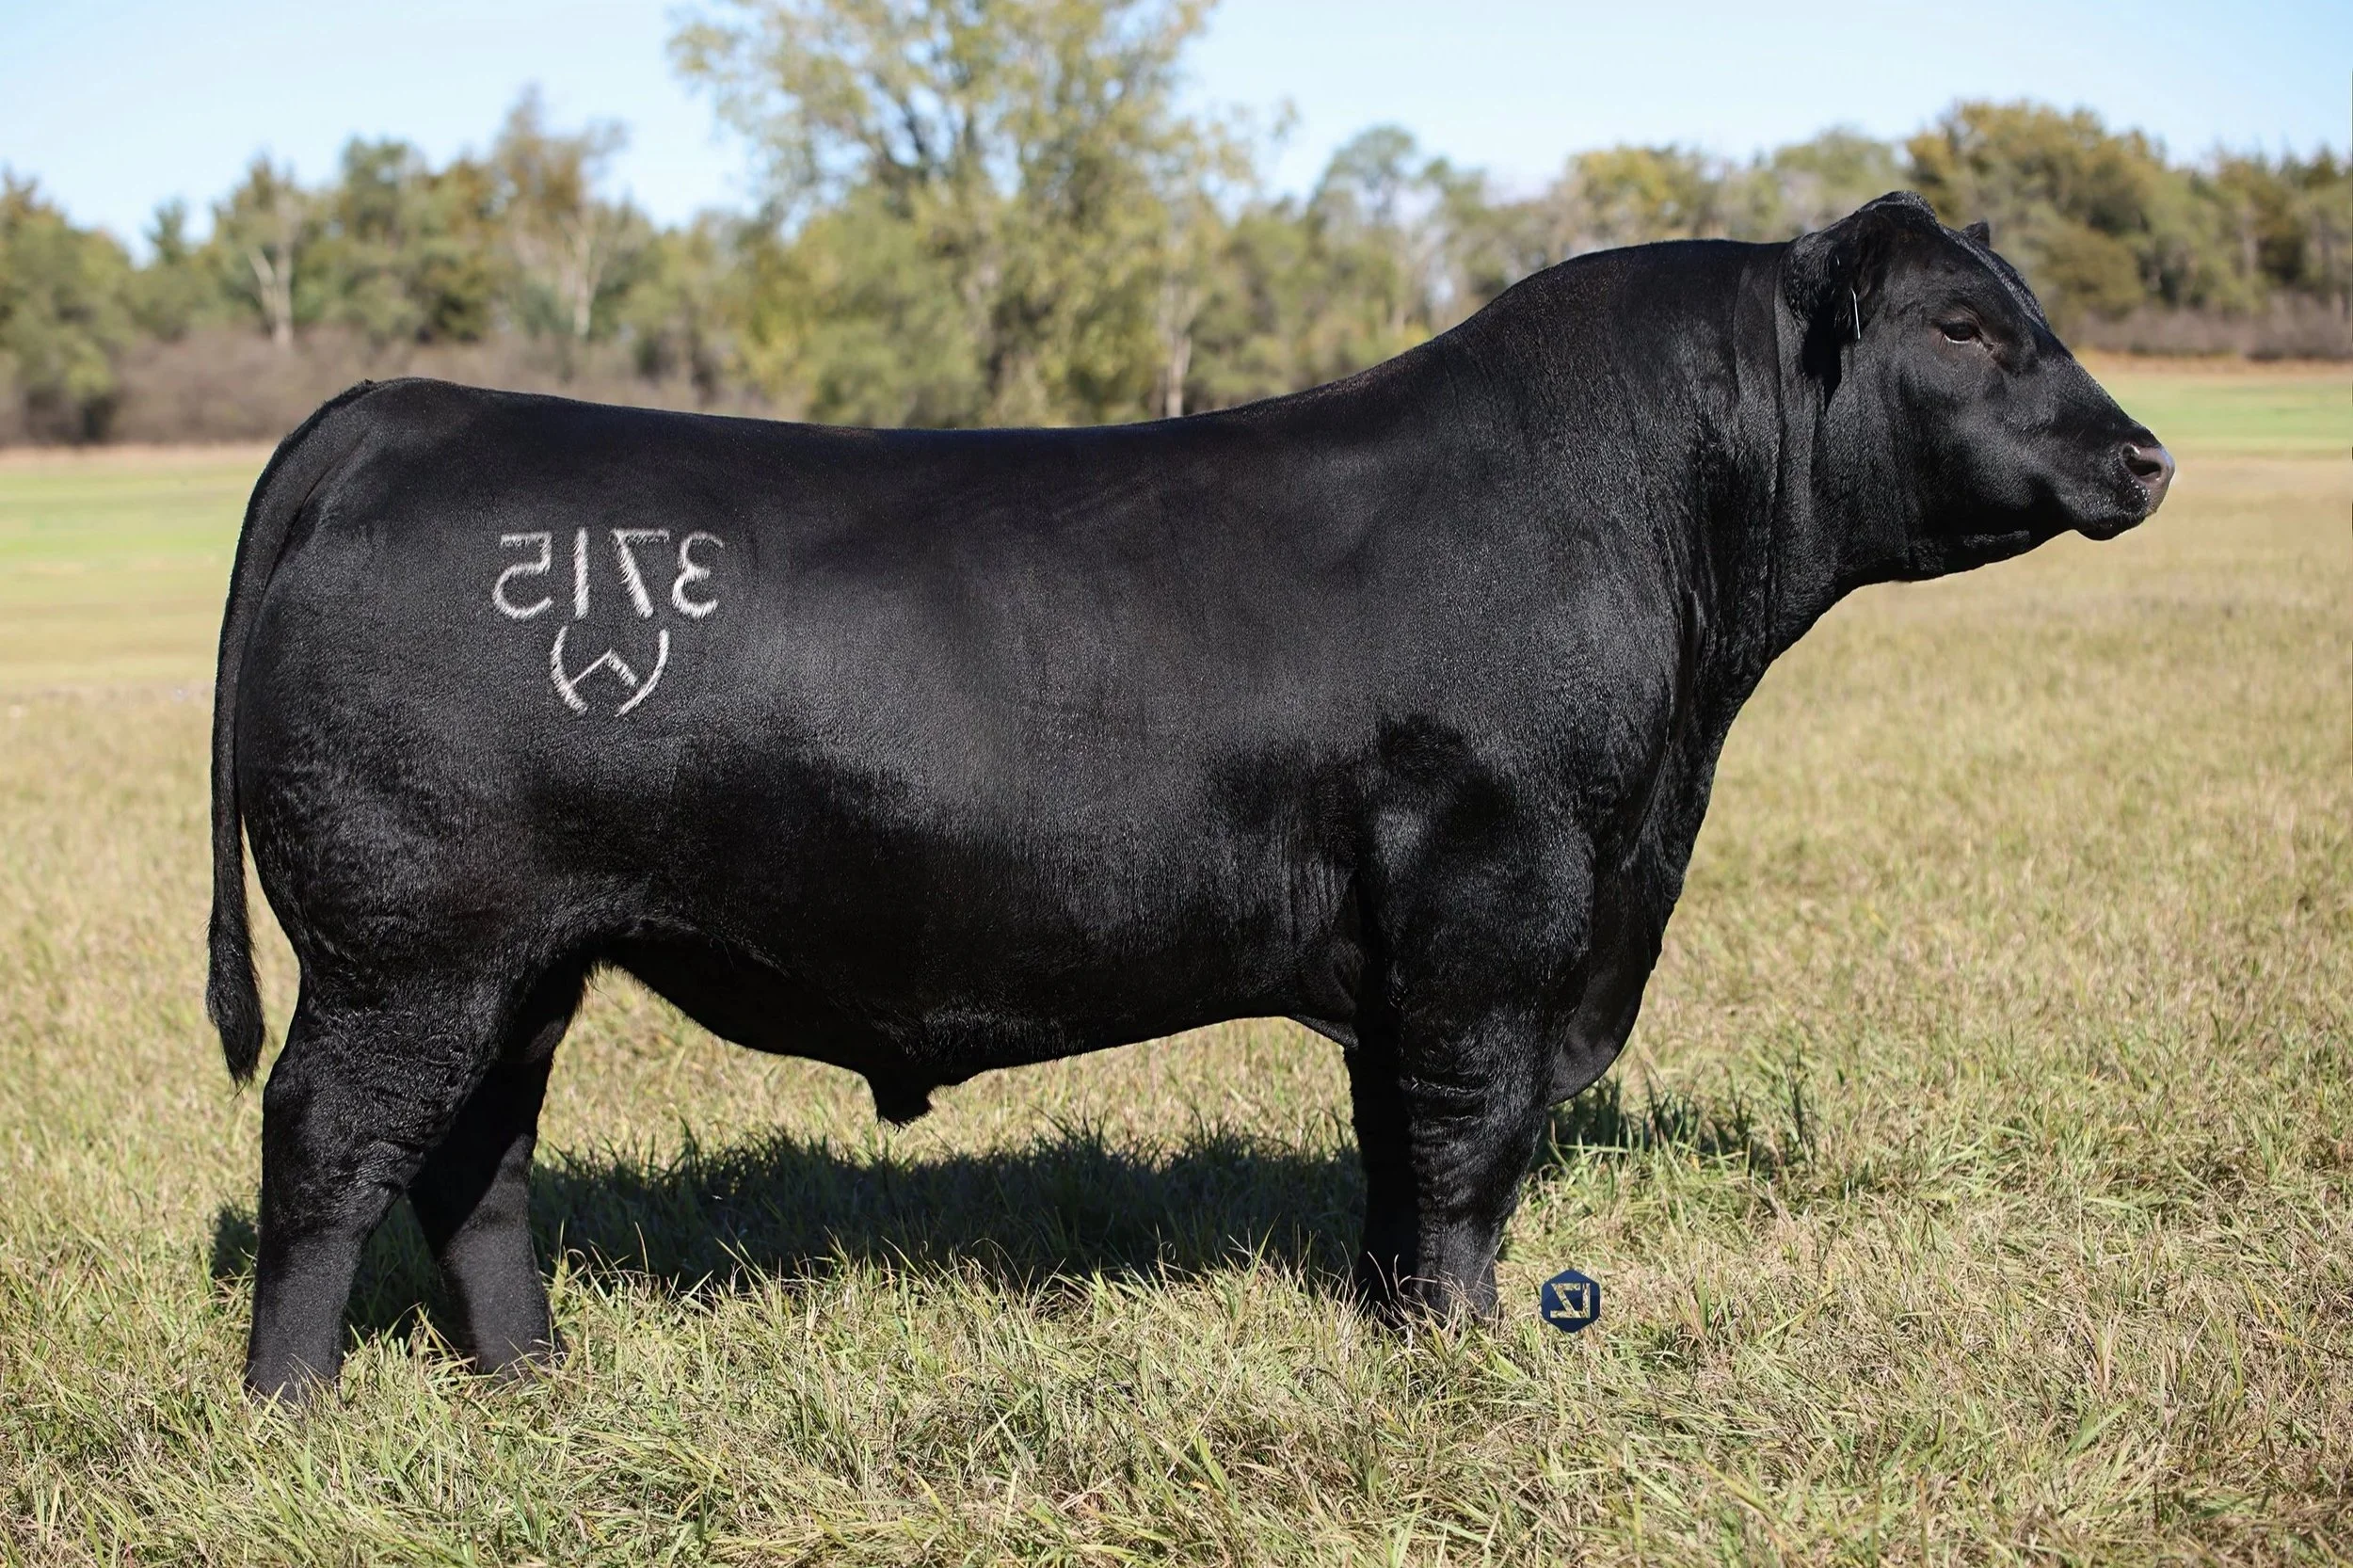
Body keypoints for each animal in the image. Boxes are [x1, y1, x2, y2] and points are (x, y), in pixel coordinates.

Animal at [207, 192, 2173, 1400]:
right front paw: (1471, 1349)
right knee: (331, 1143)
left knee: (474, 1160)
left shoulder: (1430, 936)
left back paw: (531, 1377)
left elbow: (1397, 1143)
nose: (2147, 453)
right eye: (1964, 328)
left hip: (521, 957)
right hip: (409, 943)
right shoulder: (1496, 898)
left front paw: (1396, 1329)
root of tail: (400, 412)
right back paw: (296, 1406)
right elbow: (1468, 1140)